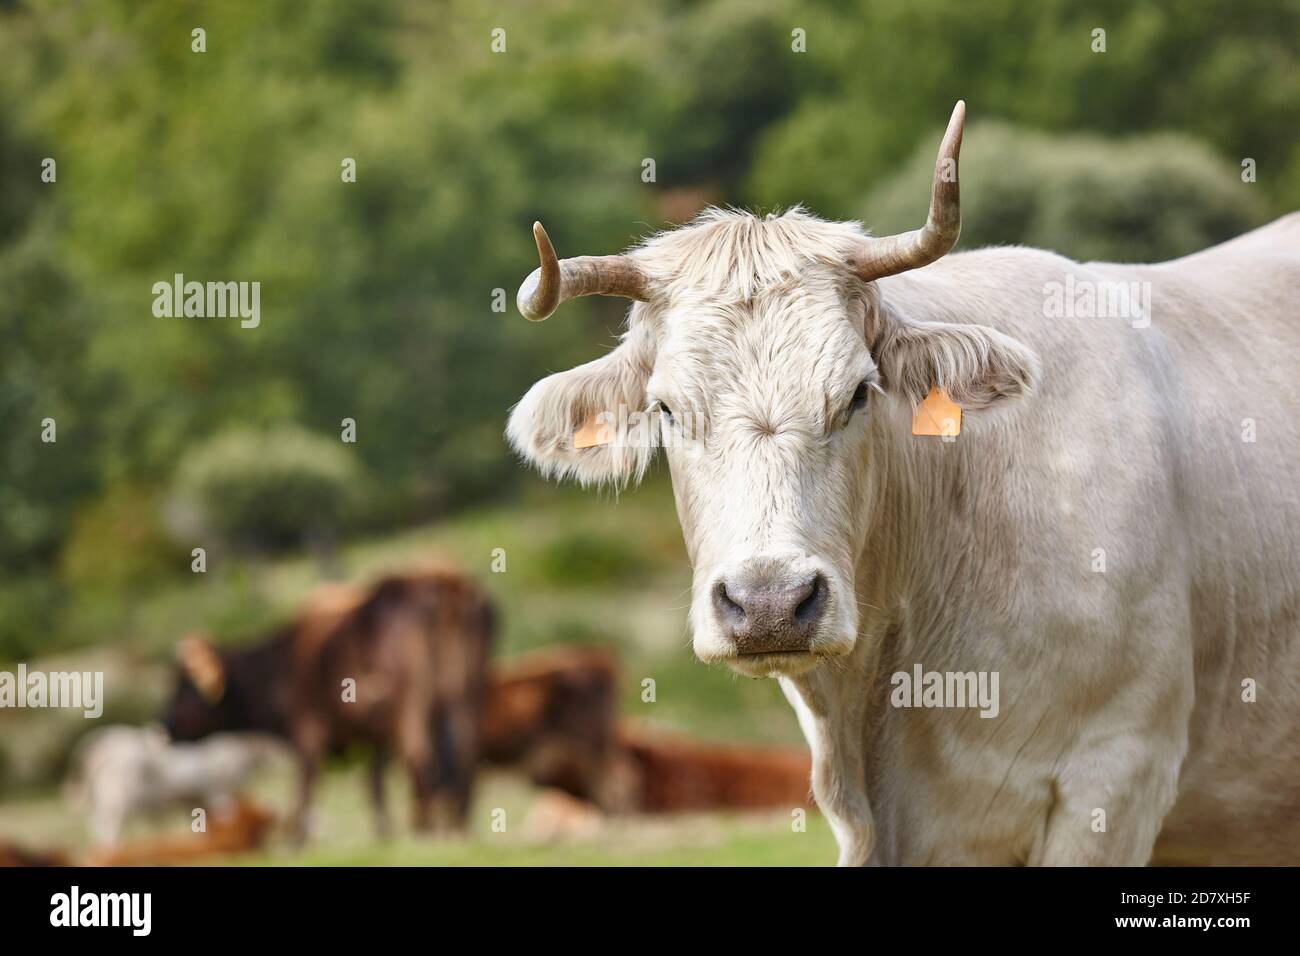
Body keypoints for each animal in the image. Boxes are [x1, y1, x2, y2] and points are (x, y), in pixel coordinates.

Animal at [163, 568, 495, 839]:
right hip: (465, 697)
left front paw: (298, 840)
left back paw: (424, 831)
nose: (166, 725)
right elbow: (374, 787)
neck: (282, 663)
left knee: (422, 760)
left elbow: (306, 786)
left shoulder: (308, 731)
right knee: (464, 760)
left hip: (412, 709)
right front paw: (384, 836)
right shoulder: (373, 737)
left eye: (184, 688)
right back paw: (457, 828)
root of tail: (443, 584)